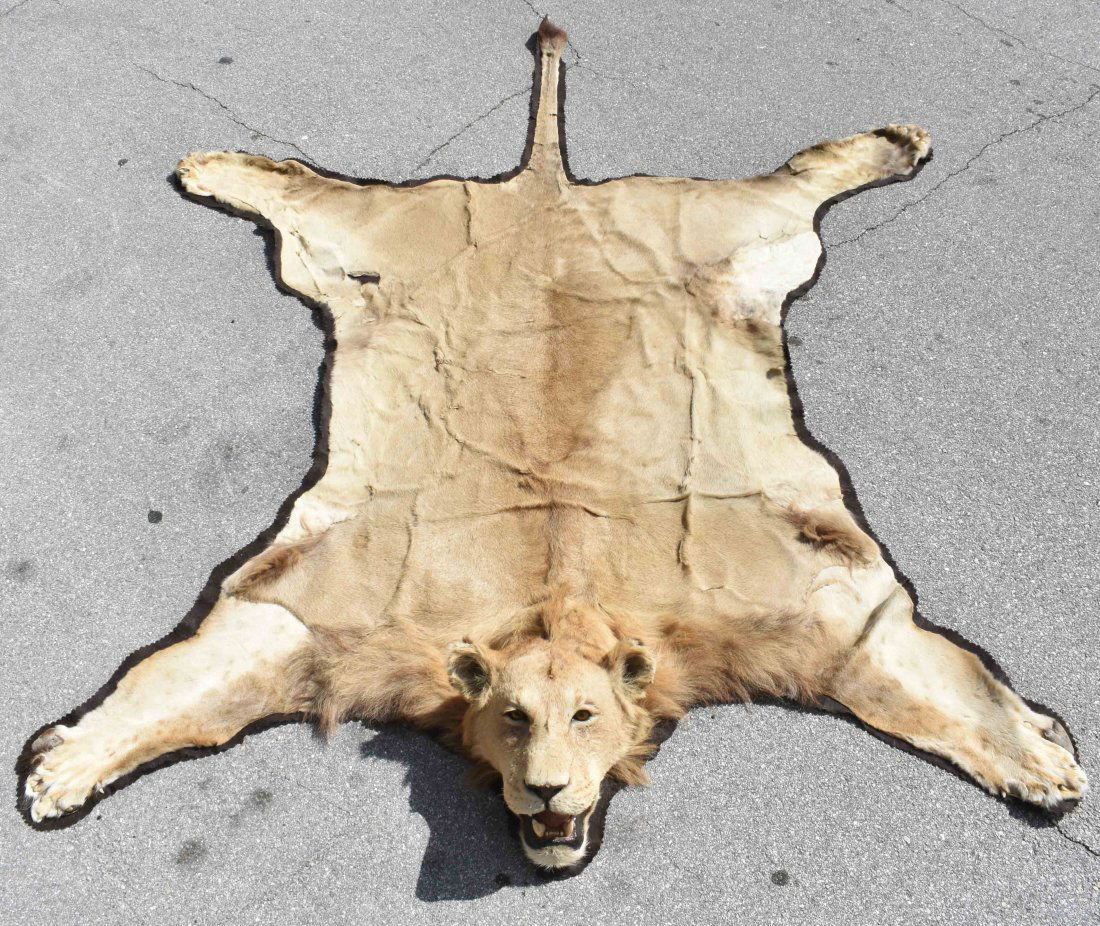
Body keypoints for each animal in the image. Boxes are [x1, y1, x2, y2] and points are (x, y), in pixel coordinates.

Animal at [22, 19, 1086, 873]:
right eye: (511, 719)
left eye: (584, 716)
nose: (544, 790)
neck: (557, 600)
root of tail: (545, 189)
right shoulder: (324, 623)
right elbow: (188, 682)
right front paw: (60, 769)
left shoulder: (800, 610)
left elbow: (911, 677)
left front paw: (1043, 760)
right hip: (368, 244)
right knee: (303, 190)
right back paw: (214, 168)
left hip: (722, 234)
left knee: (786, 186)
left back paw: (893, 145)